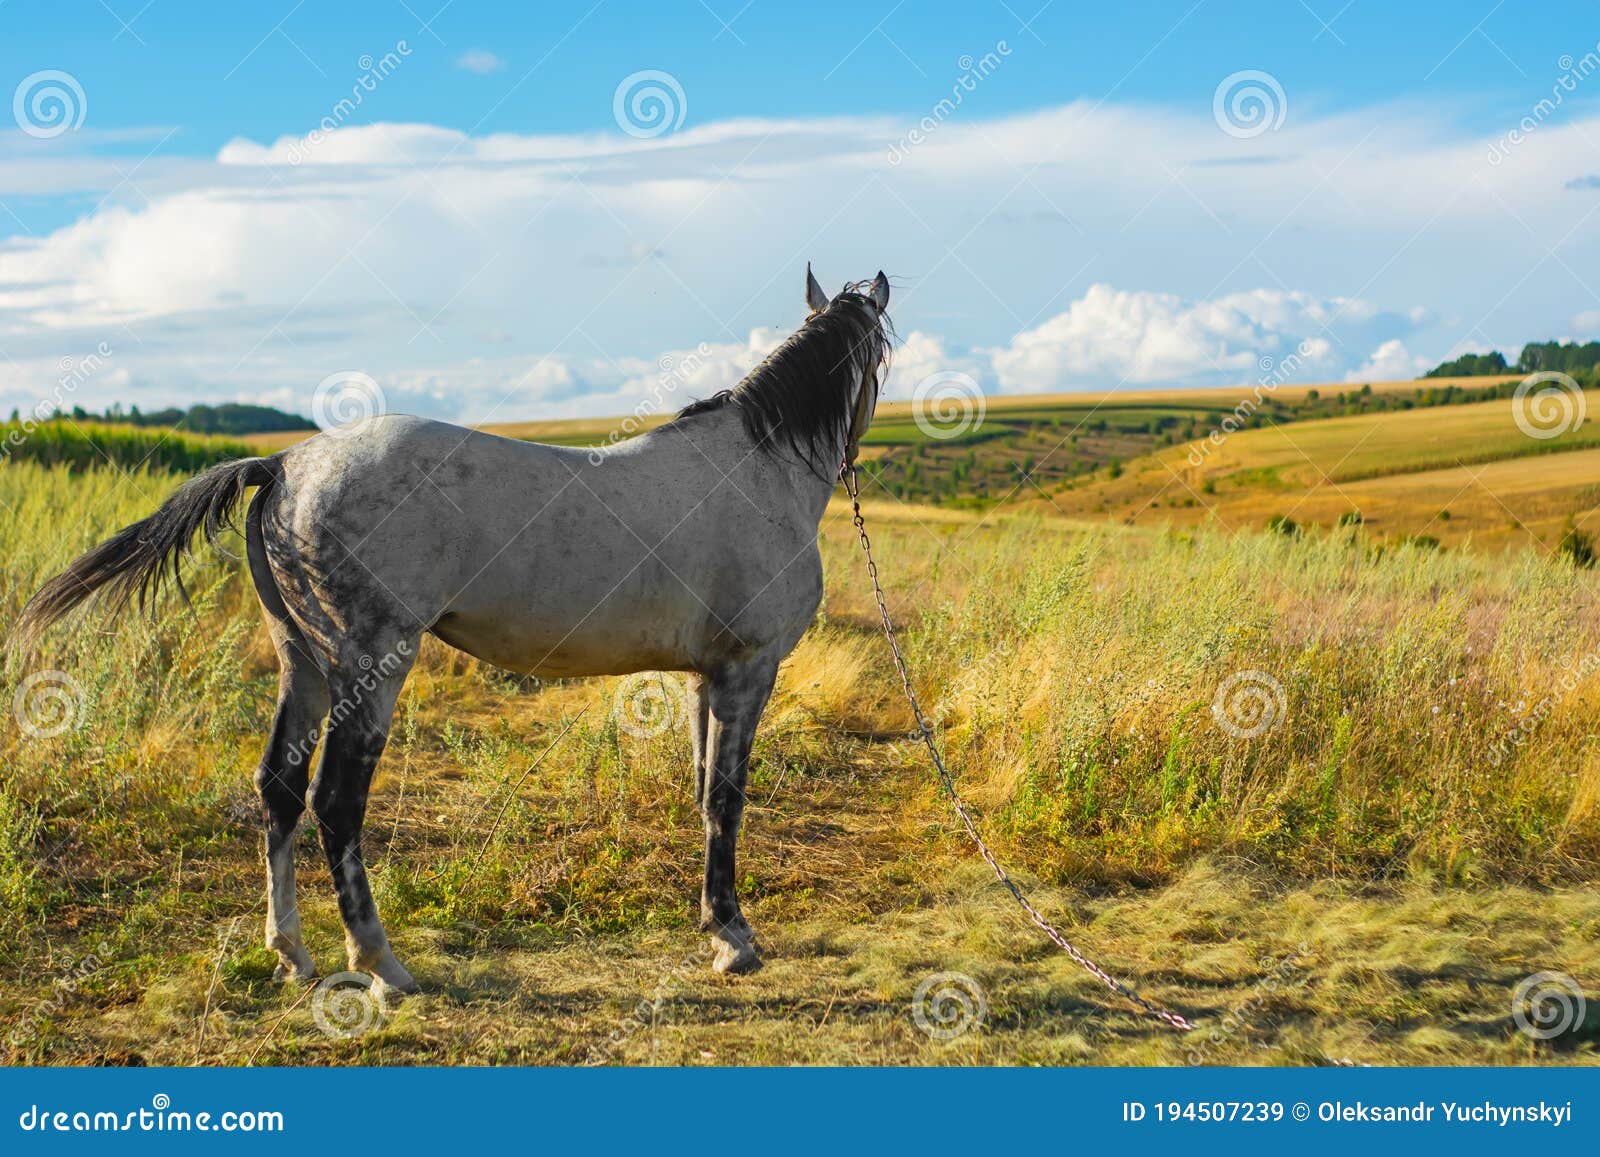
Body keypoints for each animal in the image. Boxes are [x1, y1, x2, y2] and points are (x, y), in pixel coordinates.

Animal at [13, 267, 892, 999]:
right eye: (882, 358)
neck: (759, 466)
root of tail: (286, 465)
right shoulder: (747, 670)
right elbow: (726, 795)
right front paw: (736, 939)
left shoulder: (704, 676)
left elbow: (705, 789)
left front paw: (713, 927)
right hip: (370, 666)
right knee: (336, 803)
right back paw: (381, 964)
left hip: (304, 663)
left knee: (280, 790)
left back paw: (293, 953)